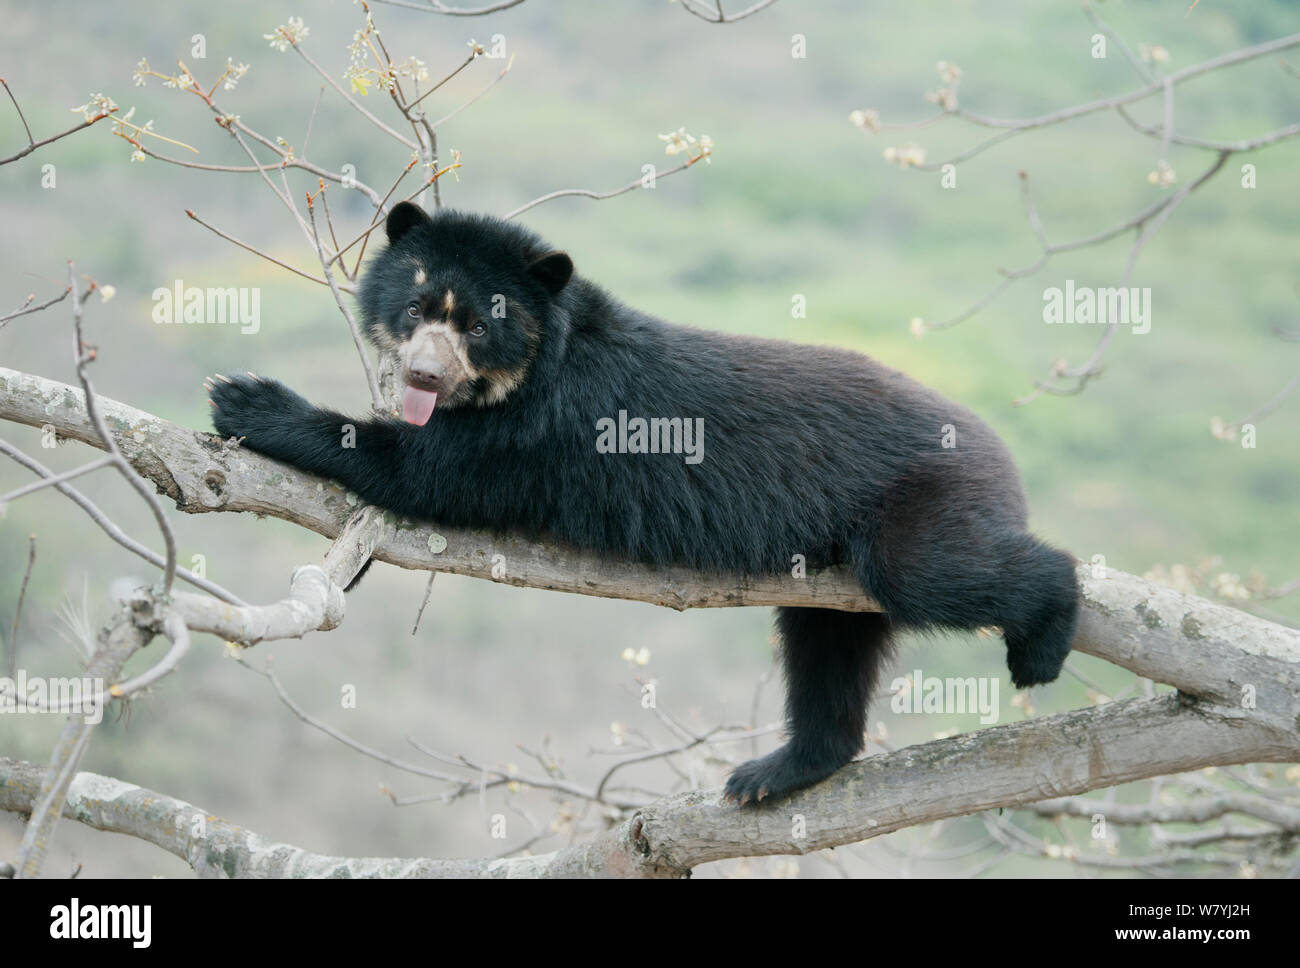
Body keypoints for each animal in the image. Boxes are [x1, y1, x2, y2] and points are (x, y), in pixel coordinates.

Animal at [209, 202, 1080, 805]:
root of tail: (997, 450)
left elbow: (422, 472)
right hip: (828, 574)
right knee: (825, 650)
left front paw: (245, 399)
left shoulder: (534, 432)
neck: (536, 363)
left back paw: (1040, 646)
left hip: (918, 505)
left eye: (479, 326)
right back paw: (773, 772)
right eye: (417, 306)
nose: (423, 376)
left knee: (947, 570)